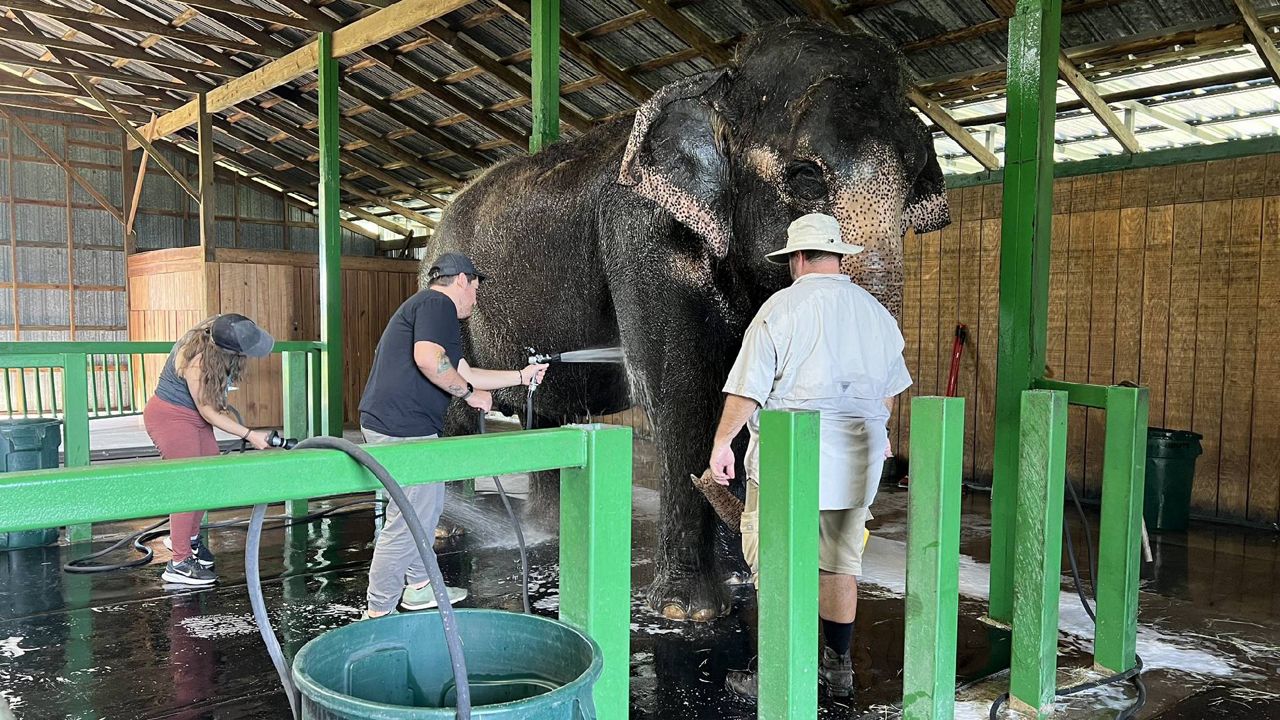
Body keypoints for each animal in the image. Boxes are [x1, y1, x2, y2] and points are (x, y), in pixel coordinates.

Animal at [425, 20, 950, 622]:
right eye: (805, 178)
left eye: (916, 176)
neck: (719, 82)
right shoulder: (642, 237)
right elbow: (684, 394)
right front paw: (687, 612)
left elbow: (739, 388)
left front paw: (741, 581)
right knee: (454, 409)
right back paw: (448, 534)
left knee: (549, 416)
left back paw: (548, 534)